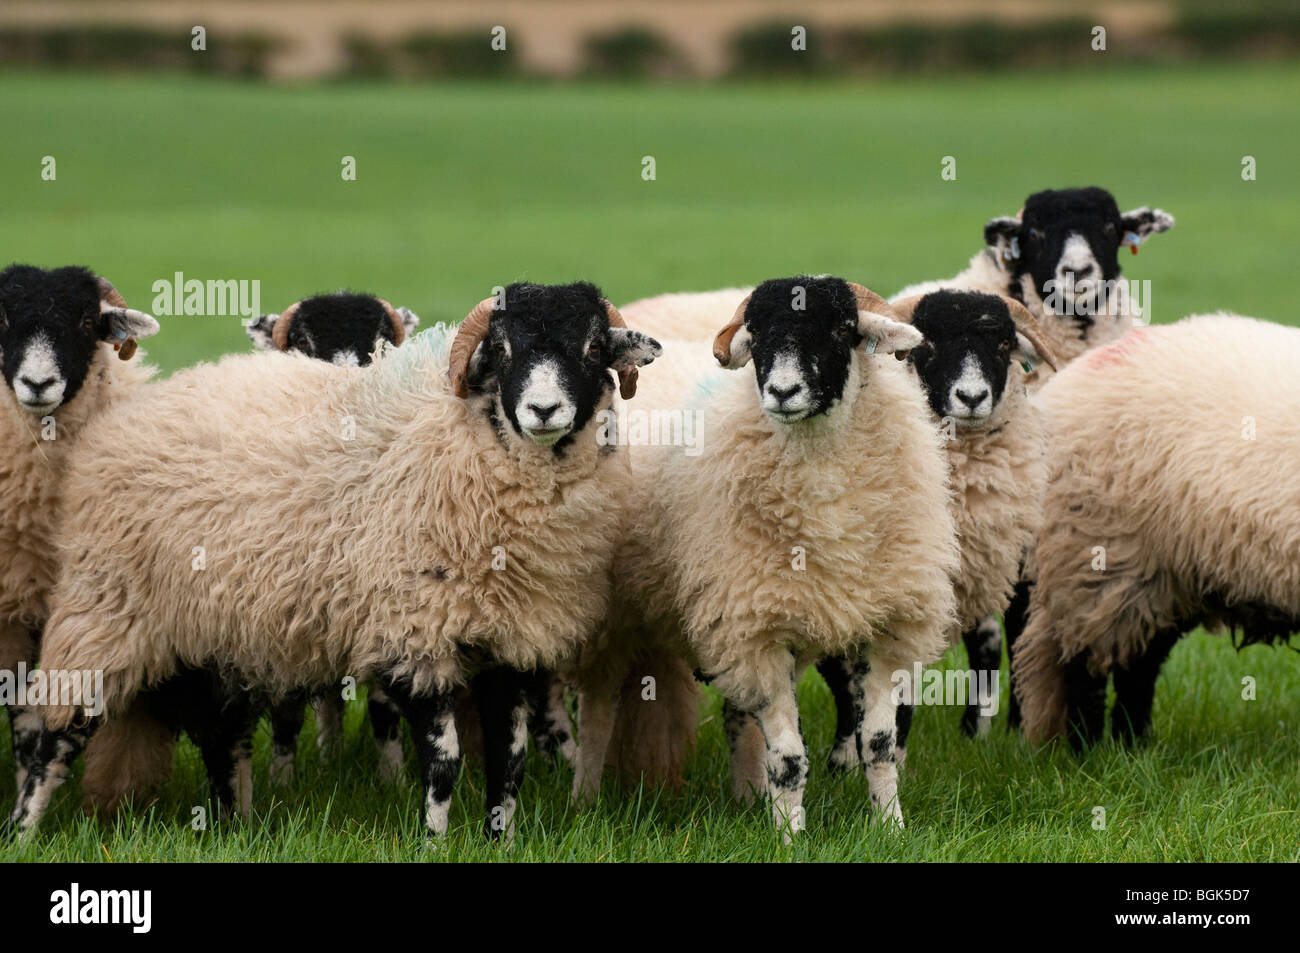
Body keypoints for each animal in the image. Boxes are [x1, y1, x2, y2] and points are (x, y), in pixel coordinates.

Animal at [573, 276, 959, 836]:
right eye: (755, 337)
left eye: (841, 329)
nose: (781, 392)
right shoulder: (758, 634)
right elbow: (791, 758)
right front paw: (792, 837)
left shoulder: (883, 629)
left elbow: (880, 745)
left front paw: (890, 828)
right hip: (616, 617)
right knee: (597, 711)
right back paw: (584, 798)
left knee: (737, 715)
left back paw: (747, 796)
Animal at [815, 290, 1057, 765]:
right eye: (927, 346)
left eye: (1003, 344)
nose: (972, 396)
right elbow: (847, 675)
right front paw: (850, 756)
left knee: (1000, 643)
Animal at [1013, 314, 1300, 748]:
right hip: (1099, 553)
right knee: (1082, 667)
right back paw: (1086, 749)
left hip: (1161, 572)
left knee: (1137, 664)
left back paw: (1133, 745)